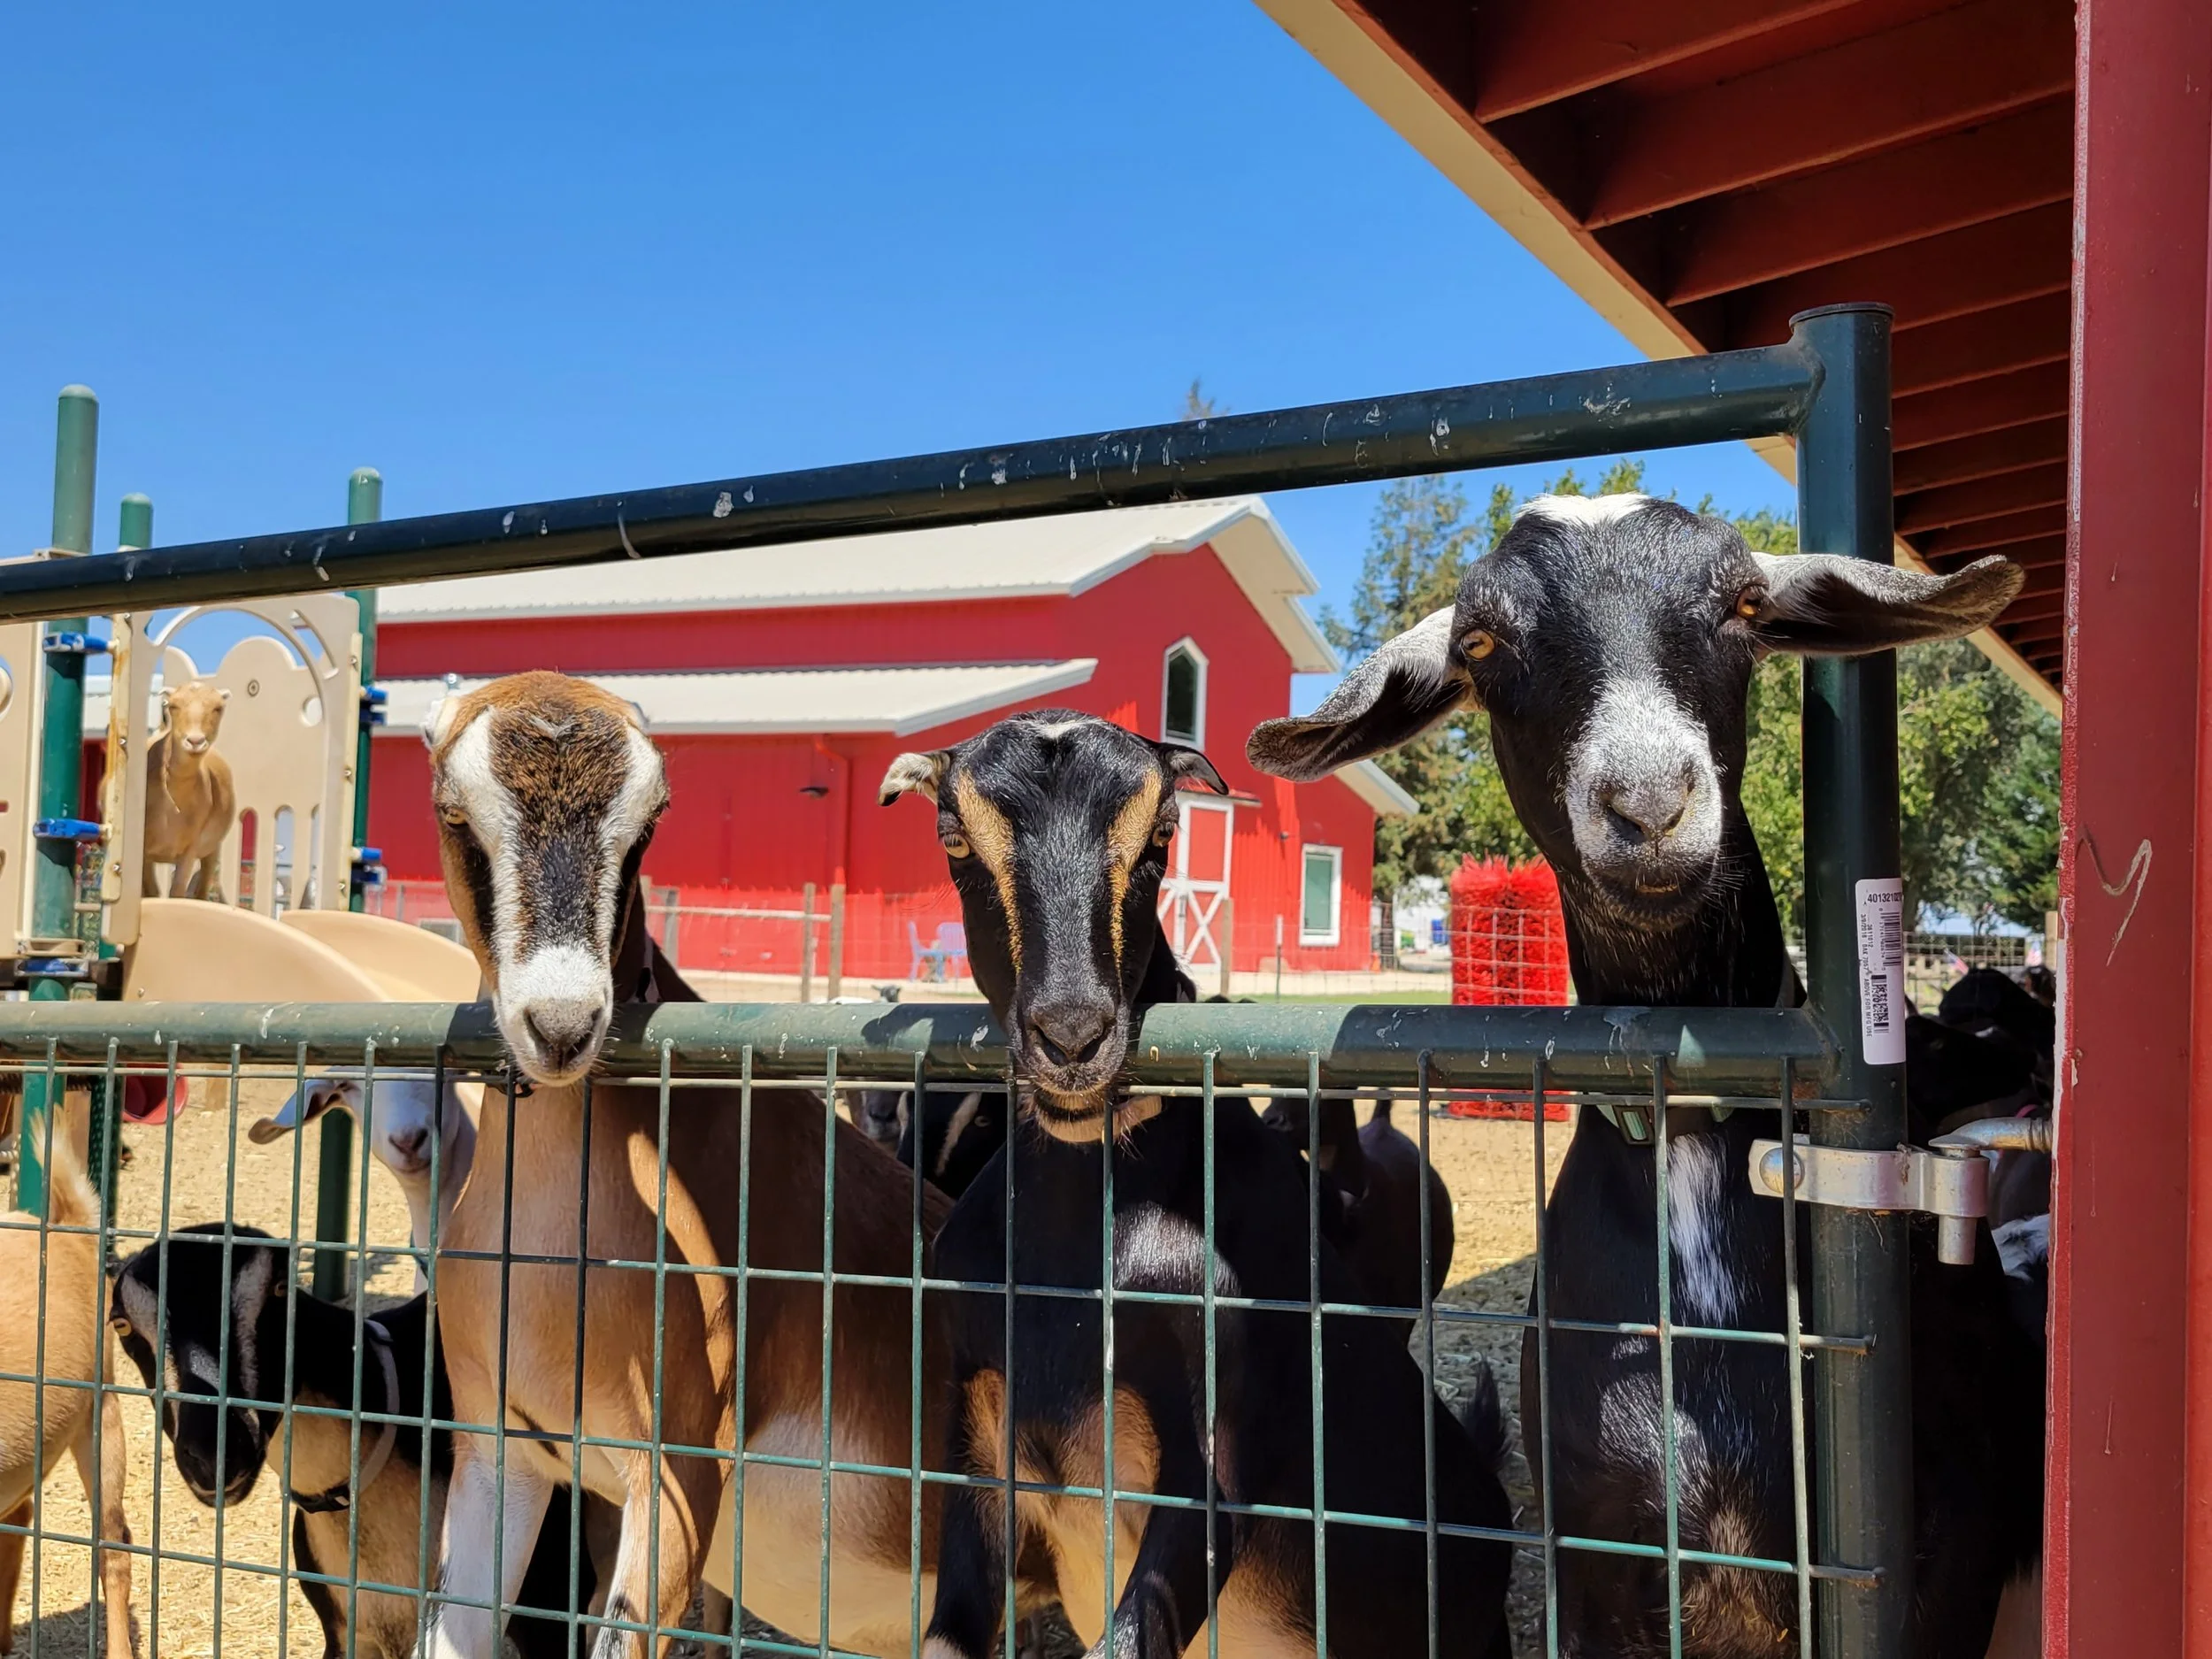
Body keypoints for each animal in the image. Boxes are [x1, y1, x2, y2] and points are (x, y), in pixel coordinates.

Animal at [143, 679, 237, 901]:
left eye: (218, 708)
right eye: (173, 706)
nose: (195, 741)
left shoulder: (190, 846)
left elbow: (177, 893)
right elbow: (150, 893)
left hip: (212, 848)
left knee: (202, 889)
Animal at [1248, 495, 2036, 1657]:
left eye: (1745, 605)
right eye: (1480, 644)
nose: (1650, 804)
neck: (1697, 1132)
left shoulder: (1941, 1545)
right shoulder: (1594, 1548)